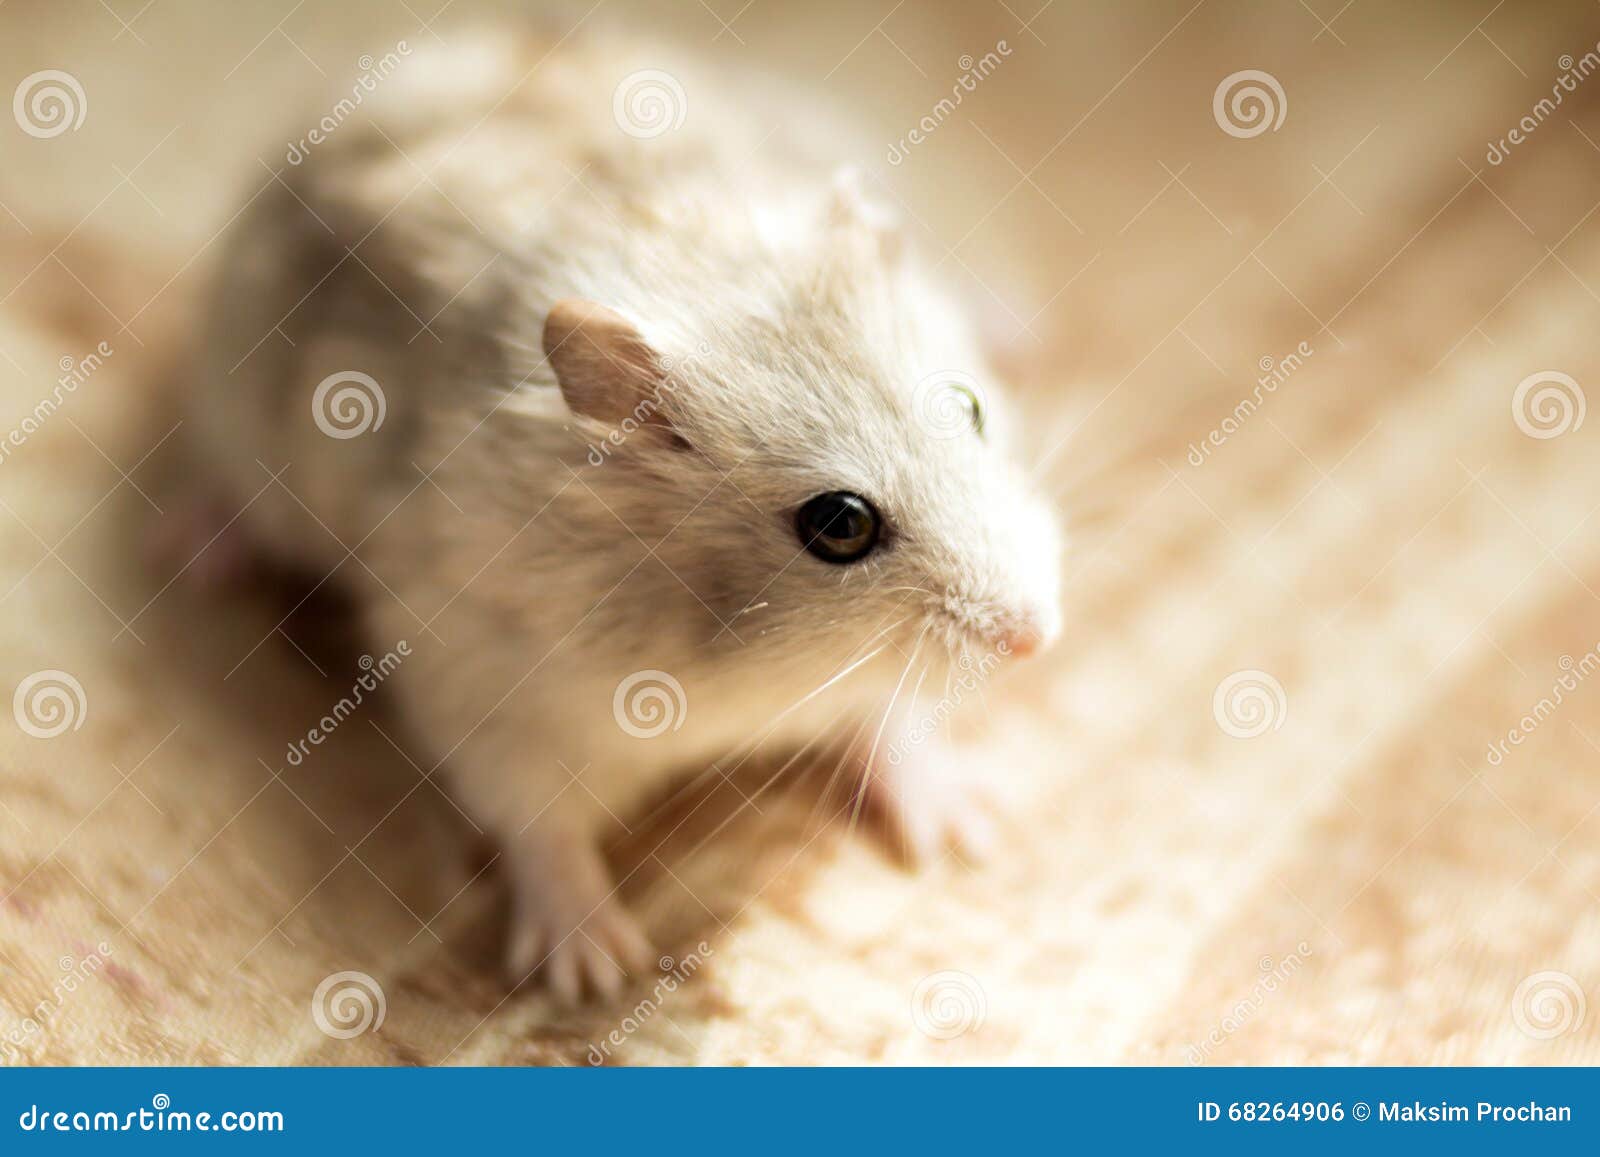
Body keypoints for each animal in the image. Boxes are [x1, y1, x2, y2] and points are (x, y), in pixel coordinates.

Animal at [181, 33, 1064, 1001]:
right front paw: (594, 971)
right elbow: (541, 824)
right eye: (839, 525)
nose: (1036, 640)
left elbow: (889, 723)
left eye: (968, 407)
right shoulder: (492, 689)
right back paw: (193, 549)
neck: (742, 655)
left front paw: (971, 827)